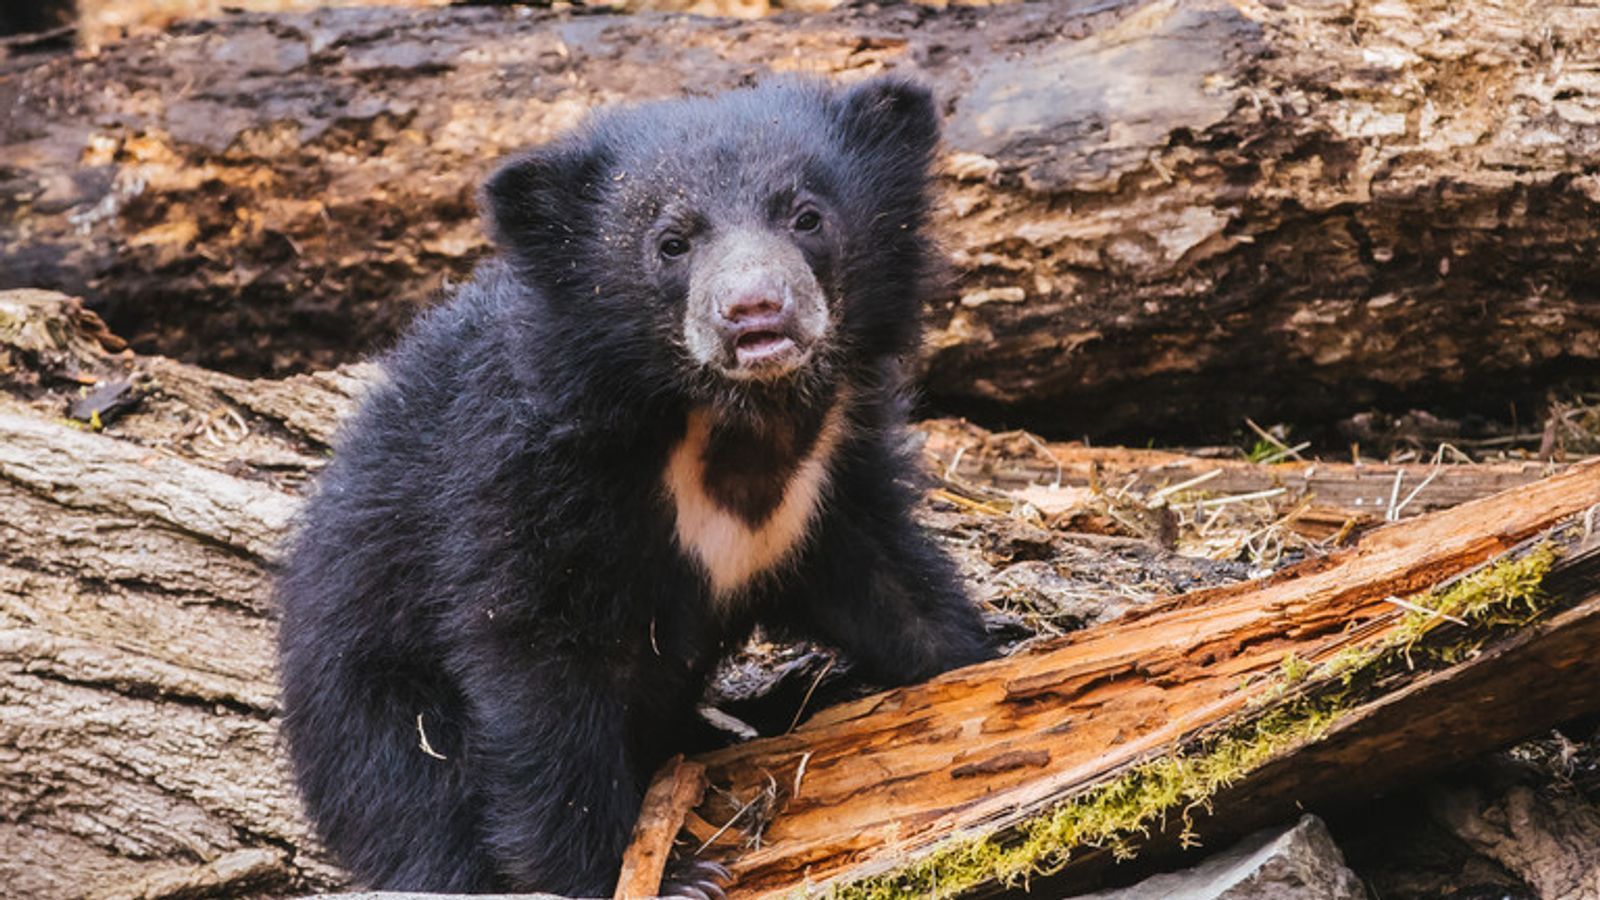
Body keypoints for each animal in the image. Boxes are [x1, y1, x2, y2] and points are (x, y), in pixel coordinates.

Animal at [274, 75, 994, 897]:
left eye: (806, 216)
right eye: (672, 243)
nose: (755, 311)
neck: (731, 413)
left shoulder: (833, 470)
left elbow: (888, 579)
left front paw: (985, 659)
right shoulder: (527, 480)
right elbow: (539, 671)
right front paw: (656, 872)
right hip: (375, 709)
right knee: (419, 805)